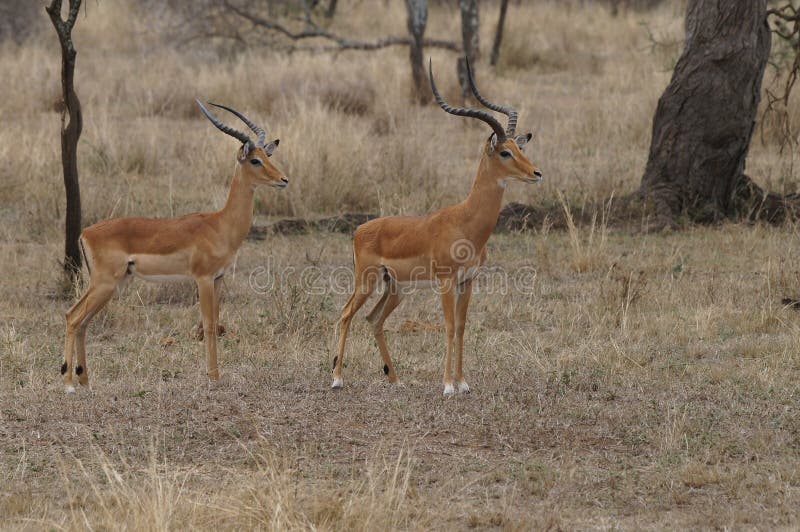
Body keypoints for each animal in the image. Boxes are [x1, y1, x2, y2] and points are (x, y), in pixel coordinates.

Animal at [60, 101, 288, 393]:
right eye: (254, 160)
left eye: (266, 156)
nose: (283, 180)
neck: (220, 224)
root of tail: (85, 232)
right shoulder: (203, 279)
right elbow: (208, 325)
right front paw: (213, 376)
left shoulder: (219, 278)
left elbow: (215, 323)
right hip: (104, 284)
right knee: (72, 316)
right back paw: (68, 383)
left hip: (112, 286)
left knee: (83, 322)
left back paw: (85, 380)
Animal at [332, 59, 543, 395]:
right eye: (505, 151)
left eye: (519, 148)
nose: (536, 173)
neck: (466, 222)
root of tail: (359, 230)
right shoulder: (446, 282)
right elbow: (448, 326)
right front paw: (447, 385)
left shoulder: (468, 281)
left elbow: (462, 327)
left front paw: (463, 382)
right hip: (366, 281)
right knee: (345, 314)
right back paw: (337, 378)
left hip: (395, 288)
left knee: (373, 319)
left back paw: (395, 378)